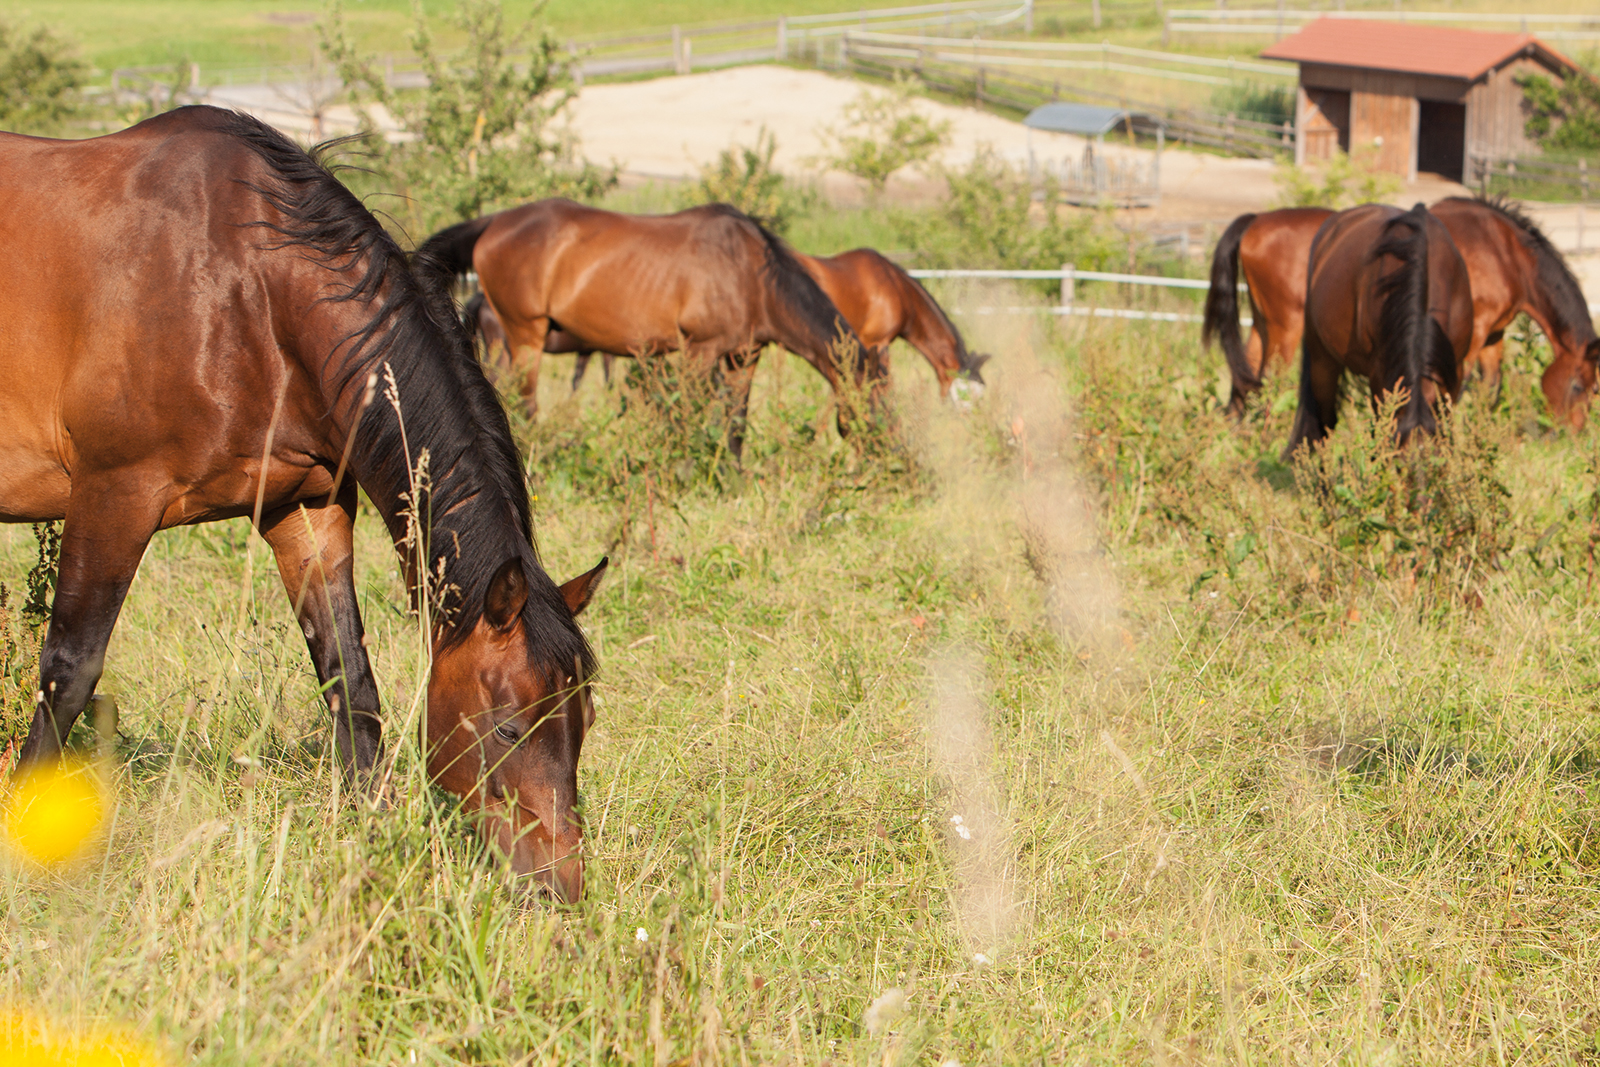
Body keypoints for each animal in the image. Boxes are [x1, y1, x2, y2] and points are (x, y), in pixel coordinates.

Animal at [0, 106, 605, 903]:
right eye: (507, 726)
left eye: (583, 717)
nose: (559, 886)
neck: (243, 289)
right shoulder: (113, 495)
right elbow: (68, 671)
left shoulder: (307, 511)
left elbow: (349, 679)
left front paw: (374, 832)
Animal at [421, 200, 872, 458]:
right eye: (878, 401)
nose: (887, 463)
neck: (750, 272)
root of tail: (494, 223)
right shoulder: (699, 351)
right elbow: (691, 415)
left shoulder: (744, 355)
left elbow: (736, 421)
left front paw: (732, 474)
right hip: (524, 335)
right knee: (525, 401)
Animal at [1205, 197, 1600, 426]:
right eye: (1578, 386)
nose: (1568, 433)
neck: (1503, 251)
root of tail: (1256, 221)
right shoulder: (1472, 337)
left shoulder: (1494, 335)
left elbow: (1491, 386)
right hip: (1286, 329)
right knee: (1275, 381)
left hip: (1263, 324)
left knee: (1245, 373)